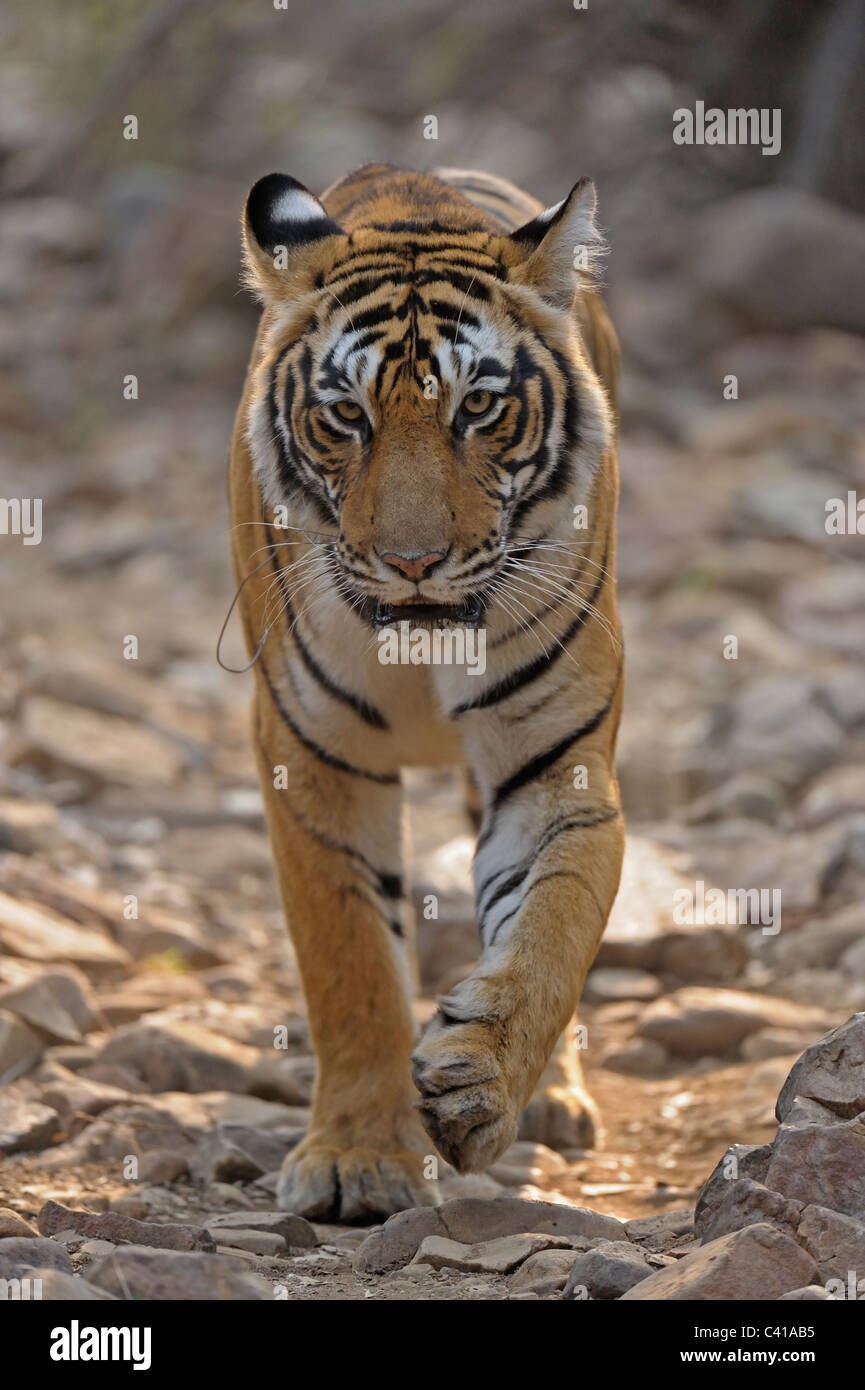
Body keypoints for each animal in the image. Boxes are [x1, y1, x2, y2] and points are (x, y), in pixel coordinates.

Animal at [228, 161, 625, 1221]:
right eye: (346, 417)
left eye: (477, 409)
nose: (413, 563)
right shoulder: (311, 757)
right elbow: (352, 962)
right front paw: (357, 1161)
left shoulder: (555, 764)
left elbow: (555, 925)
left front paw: (480, 1083)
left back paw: (555, 1098)